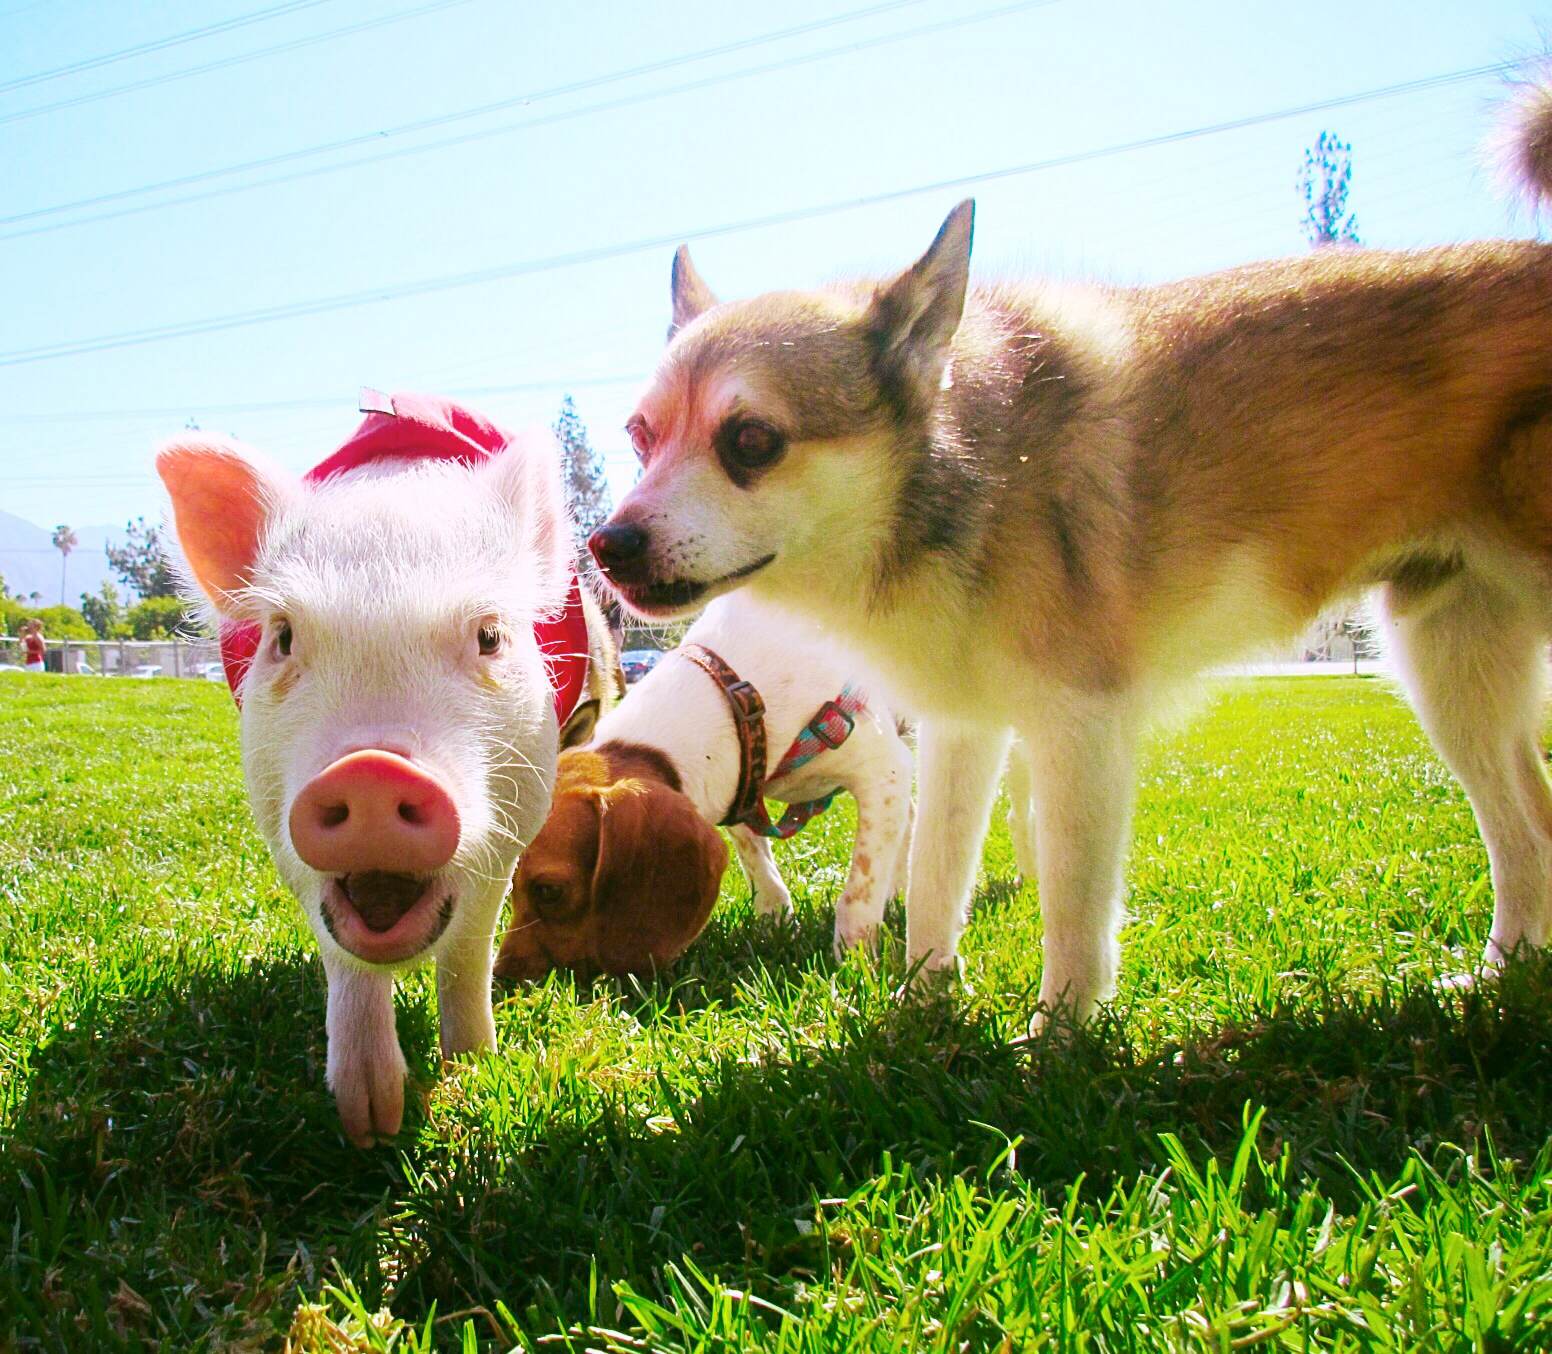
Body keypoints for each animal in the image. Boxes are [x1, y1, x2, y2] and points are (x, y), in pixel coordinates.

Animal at [158, 392, 602, 1145]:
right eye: (283, 638)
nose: (370, 770)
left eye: (490, 635)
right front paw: (369, 1123)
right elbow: (342, 953)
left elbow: (467, 949)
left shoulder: (517, 821)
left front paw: (470, 1072)